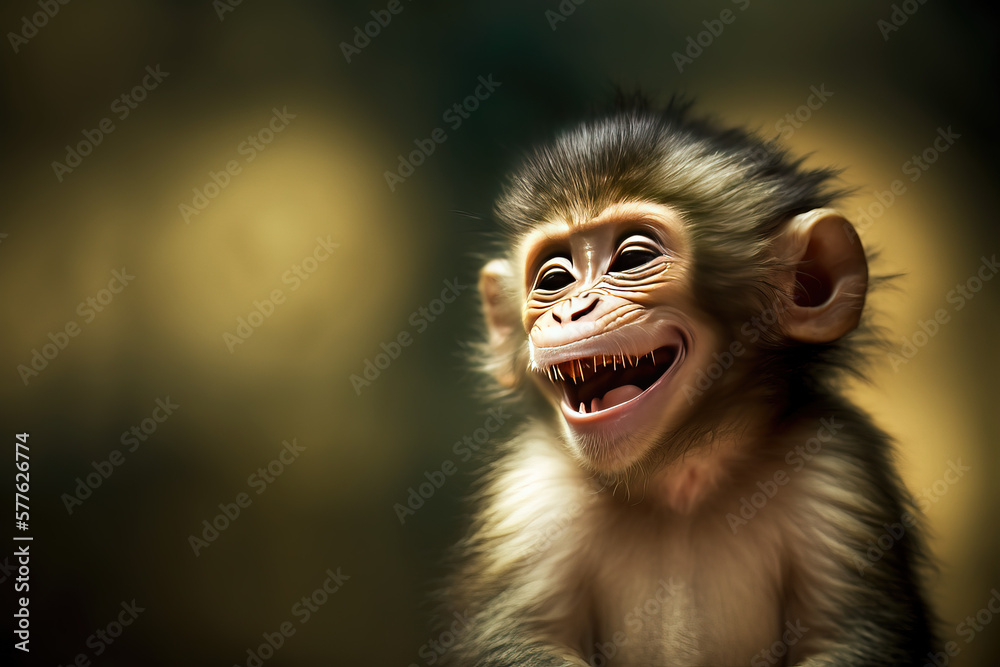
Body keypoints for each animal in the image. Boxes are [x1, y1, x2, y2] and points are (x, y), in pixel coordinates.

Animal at [439, 97, 938, 666]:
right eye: (554, 279)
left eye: (633, 258)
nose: (570, 310)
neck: (680, 475)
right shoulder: (530, 490)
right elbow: (517, 635)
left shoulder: (839, 469)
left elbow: (857, 633)